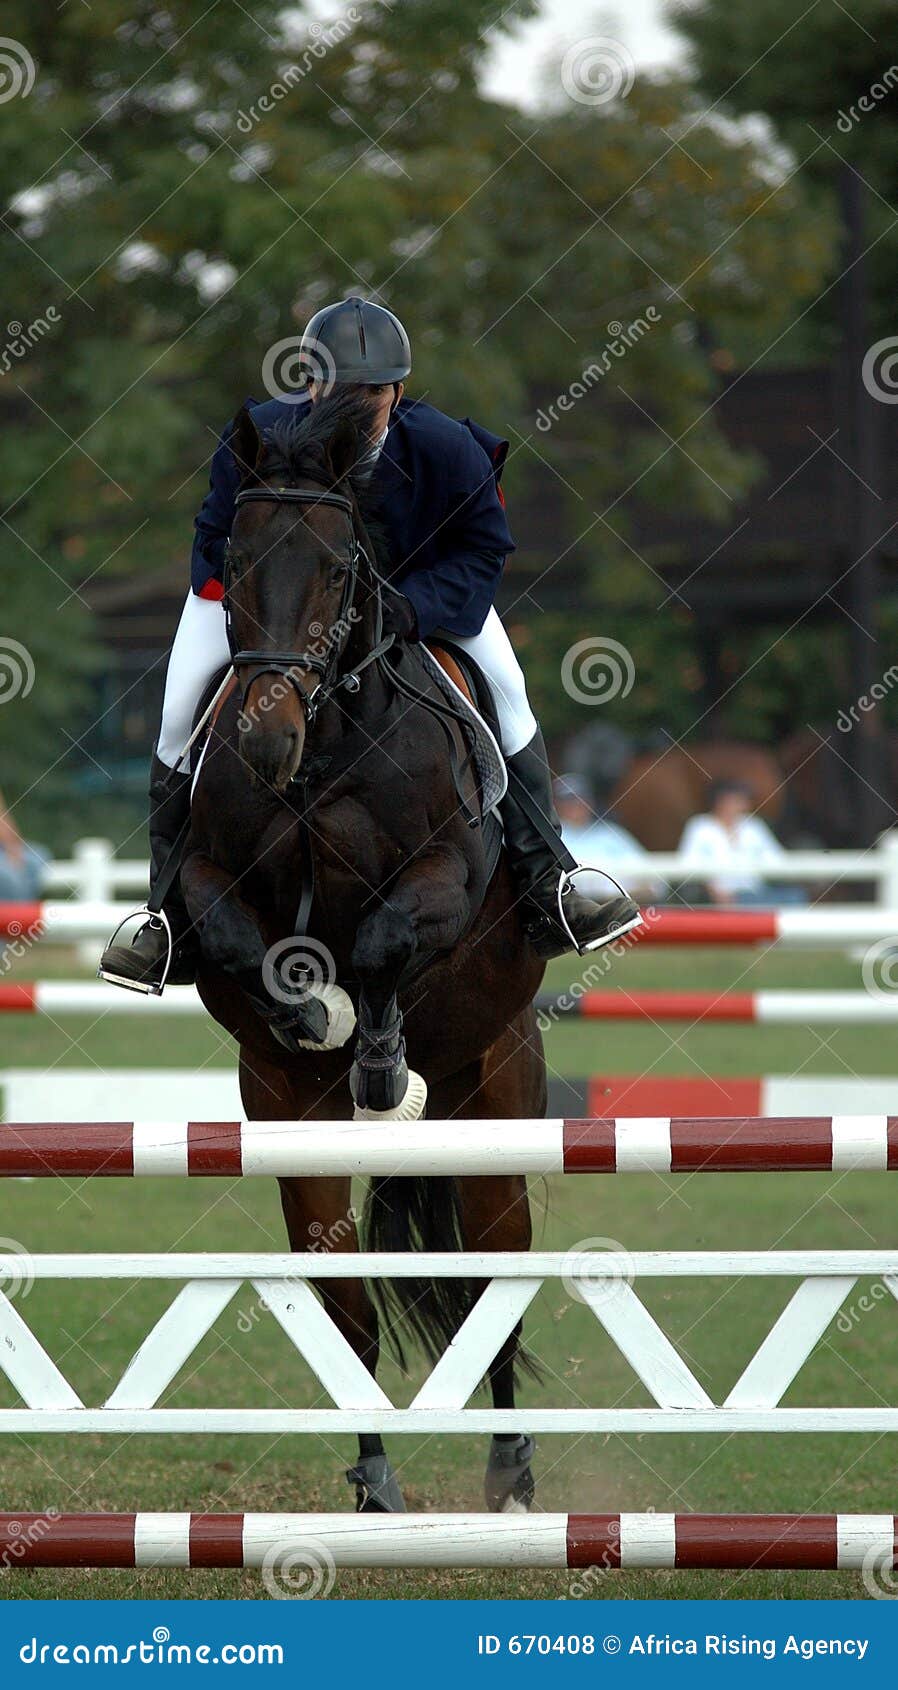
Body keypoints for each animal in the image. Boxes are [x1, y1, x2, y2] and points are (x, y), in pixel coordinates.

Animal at [179, 389, 547, 1514]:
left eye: (342, 568)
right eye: (235, 556)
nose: (262, 742)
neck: (328, 745)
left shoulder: (447, 875)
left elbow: (384, 936)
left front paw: (380, 1061)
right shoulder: (207, 875)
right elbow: (239, 937)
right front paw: (315, 1016)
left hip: (494, 1093)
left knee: (493, 1281)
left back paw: (511, 1470)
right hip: (292, 1138)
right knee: (343, 1307)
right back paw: (376, 1482)